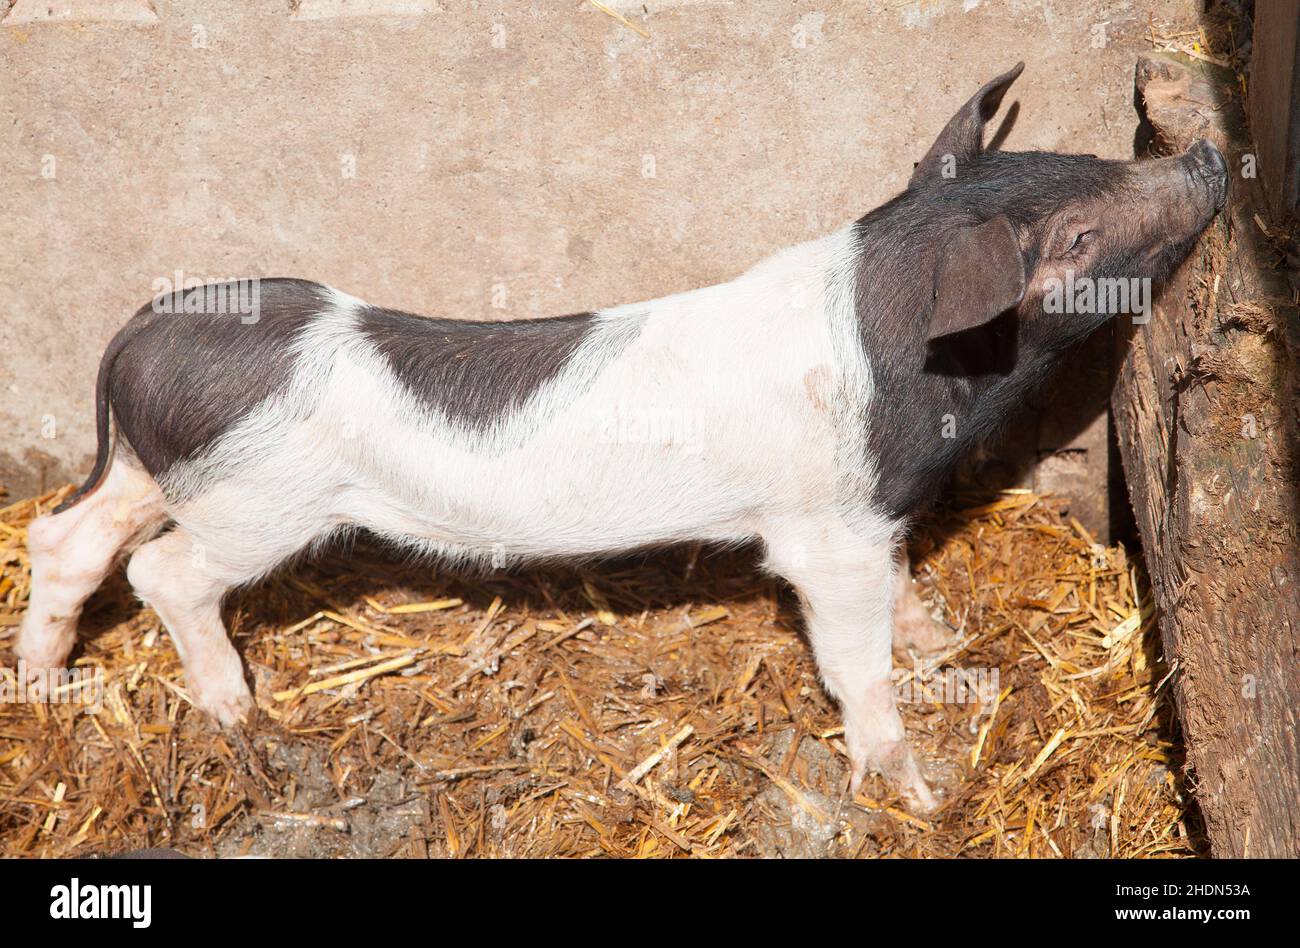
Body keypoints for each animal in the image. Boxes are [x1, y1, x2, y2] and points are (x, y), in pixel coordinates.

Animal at [15, 63, 1226, 812]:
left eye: (1088, 161)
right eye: (1077, 237)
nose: (1209, 158)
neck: (914, 369)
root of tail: (139, 335)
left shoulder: (873, 515)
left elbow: (905, 595)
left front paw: (944, 645)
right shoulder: (820, 532)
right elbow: (853, 660)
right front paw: (917, 792)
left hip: (157, 466)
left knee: (62, 540)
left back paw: (41, 683)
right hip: (258, 502)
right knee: (161, 571)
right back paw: (234, 710)